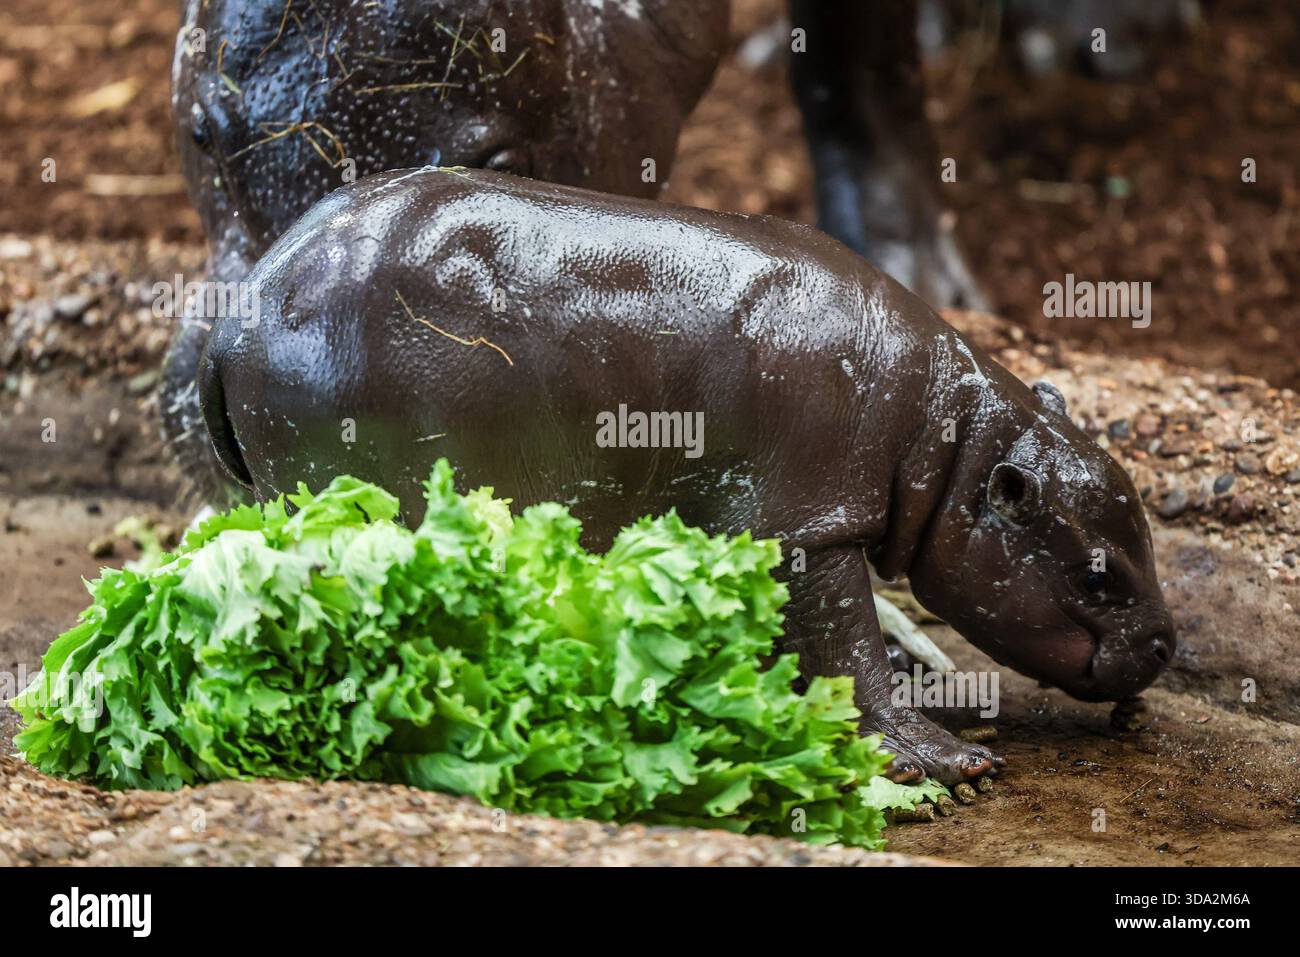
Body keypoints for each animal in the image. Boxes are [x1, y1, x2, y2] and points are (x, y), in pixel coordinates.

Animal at [195, 168, 1177, 784]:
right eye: (1099, 573)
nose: (1169, 644)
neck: (952, 436)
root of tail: (236, 312)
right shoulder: (809, 521)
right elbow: (845, 642)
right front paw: (948, 762)